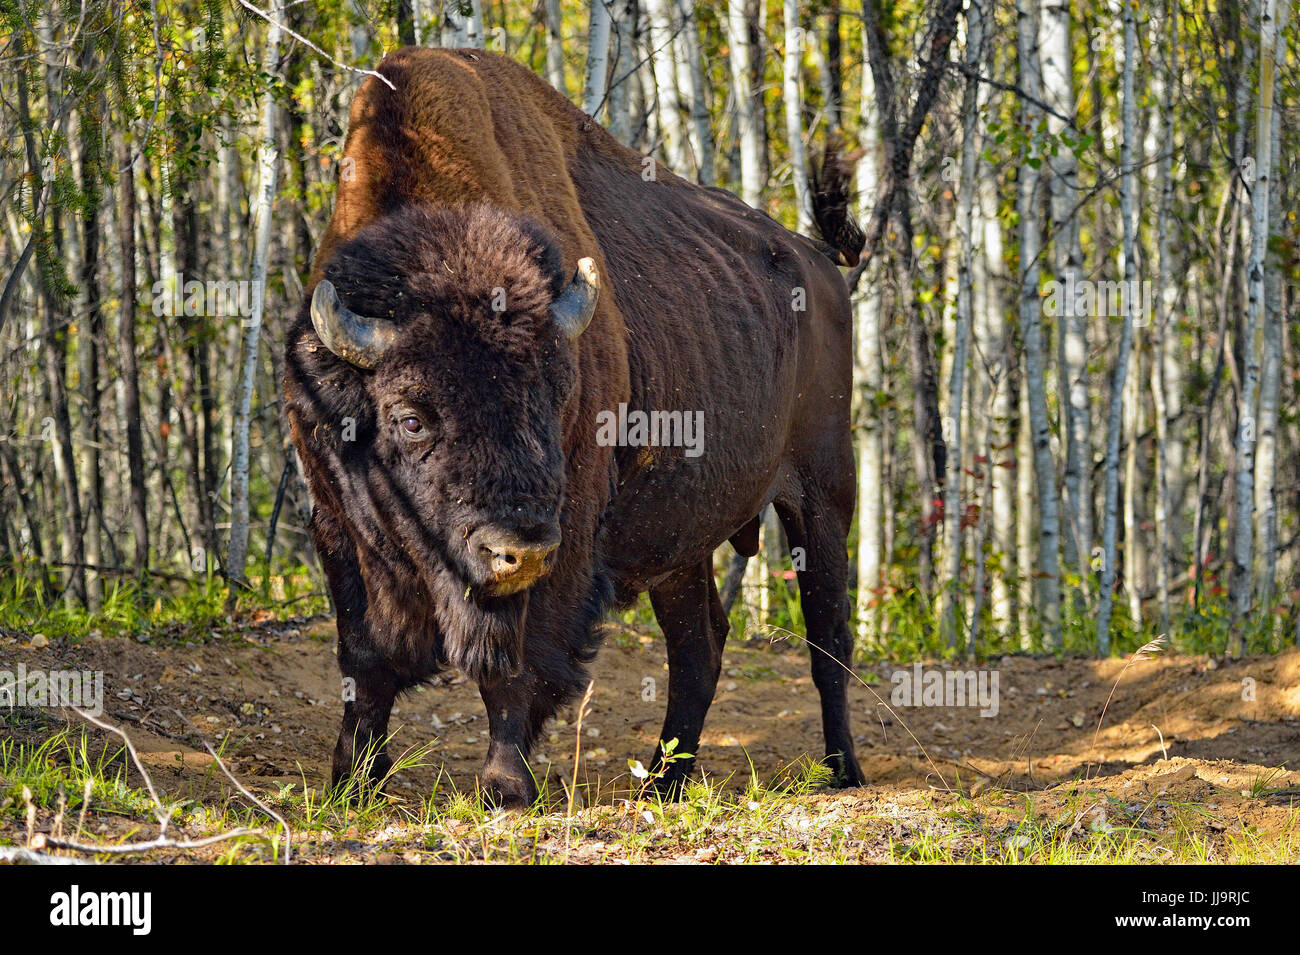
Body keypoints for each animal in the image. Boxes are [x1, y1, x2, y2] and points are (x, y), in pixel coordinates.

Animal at [285, 47, 868, 808]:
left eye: (553, 401)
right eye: (411, 417)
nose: (517, 551)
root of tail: (819, 265)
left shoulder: (567, 536)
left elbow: (519, 665)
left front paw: (504, 786)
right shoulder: (338, 531)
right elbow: (365, 659)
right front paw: (349, 782)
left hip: (824, 496)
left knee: (828, 637)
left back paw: (842, 769)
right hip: (681, 537)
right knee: (701, 643)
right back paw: (664, 782)